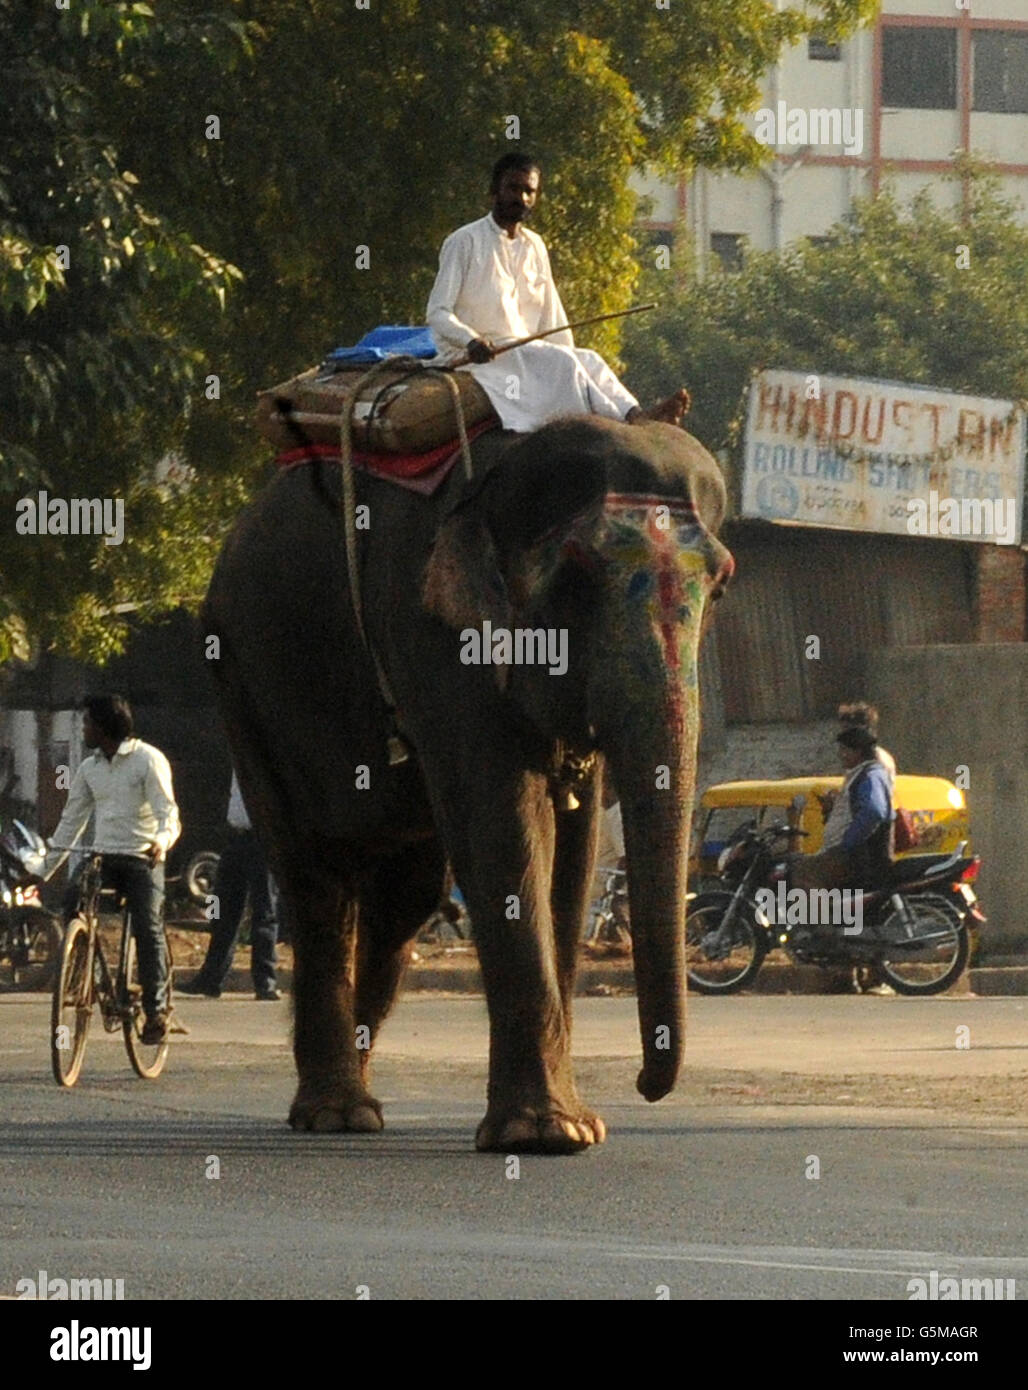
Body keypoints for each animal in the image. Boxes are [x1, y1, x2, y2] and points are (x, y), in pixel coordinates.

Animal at [202, 413, 733, 1153]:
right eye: (577, 579)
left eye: (721, 587)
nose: (644, 1086)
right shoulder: (431, 632)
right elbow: (501, 823)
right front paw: (544, 1133)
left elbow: (574, 849)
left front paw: (577, 1126)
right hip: (241, 686)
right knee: (314, 874)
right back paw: (335, 1112)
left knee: (405, 893)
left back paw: (358, 1092)